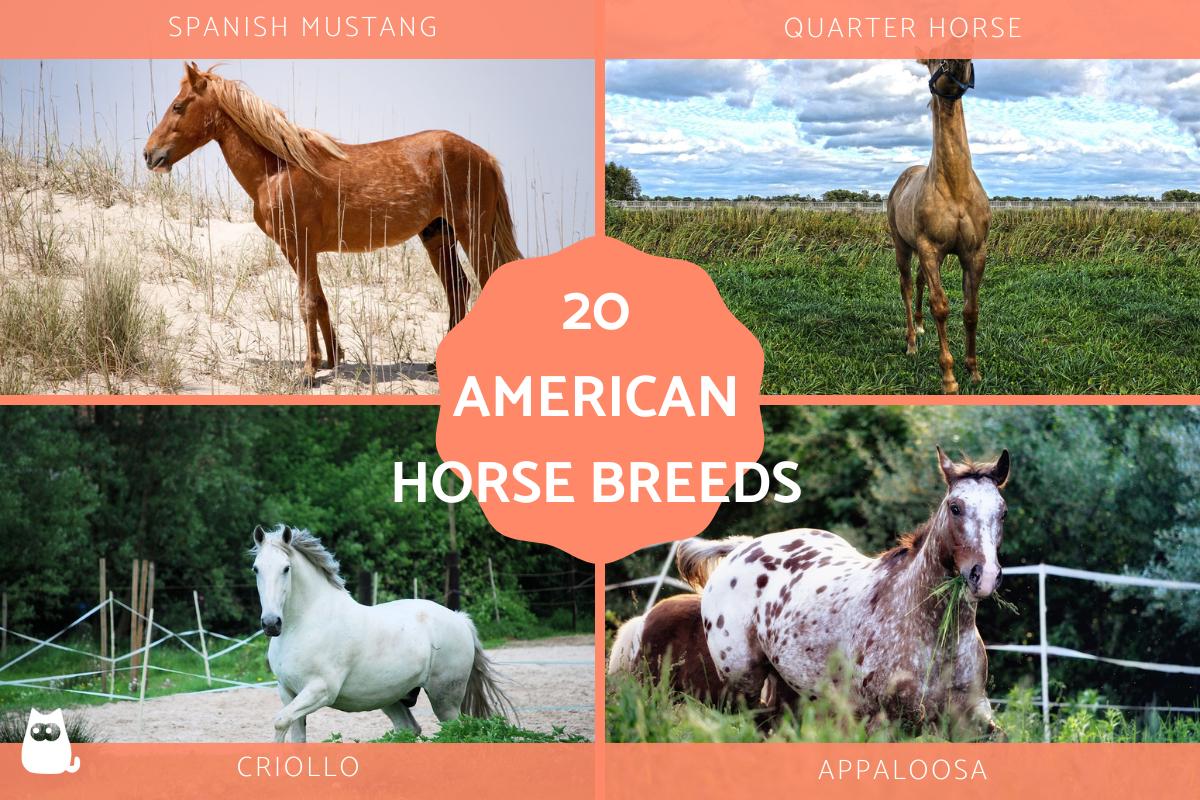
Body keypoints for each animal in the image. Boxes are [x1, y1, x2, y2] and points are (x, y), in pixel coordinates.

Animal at [145, 63, 523, 381]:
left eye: (178, 106)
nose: (150, 155)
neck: (278, 169)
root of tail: (485, 157)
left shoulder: (301, 245)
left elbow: (307, 302)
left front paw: (310, 370)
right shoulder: (297, 250)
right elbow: (320, 300)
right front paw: (332, 359)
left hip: (473, 234)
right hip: (437, 236)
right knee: (457, 288)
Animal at [250, 524, 513, 742]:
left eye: (286, 568)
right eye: (256, 569)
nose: (271, 623)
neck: (304, 624)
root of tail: (460, 619)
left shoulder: (320, 690)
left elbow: (280, 722)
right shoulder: (288, 692)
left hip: (445, 698)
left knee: (453, 732)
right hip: (390, 697)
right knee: (409, 729)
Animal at [678, 446, 1010, 740]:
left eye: (1003, 512)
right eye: (956, 508)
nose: (984, 576)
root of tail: (743, 547)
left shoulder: (972, 720)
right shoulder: (885, 722)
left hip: (790, 687)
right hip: (743, 683)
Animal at [887, 59, 990, 394]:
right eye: (933, 60)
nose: (959, 61)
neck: (955, 187)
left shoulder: (974, 252)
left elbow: (971, 311)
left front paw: (973, 370)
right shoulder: (929, 249)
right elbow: (941, 307)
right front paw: (949, 377)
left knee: (919, 282)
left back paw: (920, 326)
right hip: (903, 246)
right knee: (907, 286)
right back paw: (911, 342)